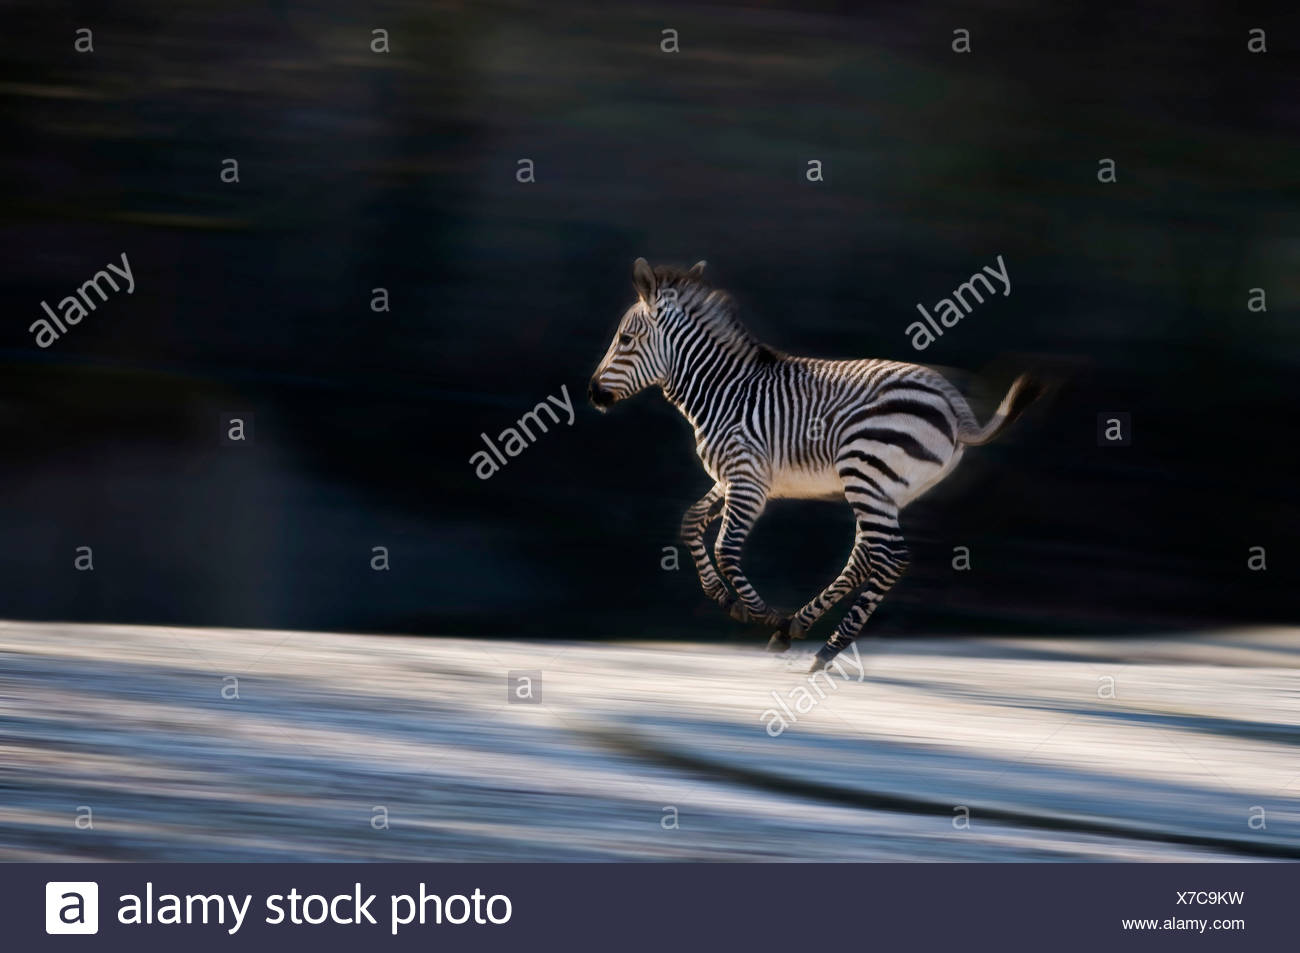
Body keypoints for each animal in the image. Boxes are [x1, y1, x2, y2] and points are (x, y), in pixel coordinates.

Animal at [589, 258, 1040, 672]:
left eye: (625, 339)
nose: (593, 393)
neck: (724, 391)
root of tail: (951, 401)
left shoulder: (748, 480)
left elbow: (726, 548)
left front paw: (759, 613)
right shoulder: (734, 478)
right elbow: (690, 522)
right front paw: (729, 601)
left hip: (865, 474)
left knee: (889, 559)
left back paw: (824, 649)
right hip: (884, 490)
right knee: (864, 557)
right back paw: (798, 627)